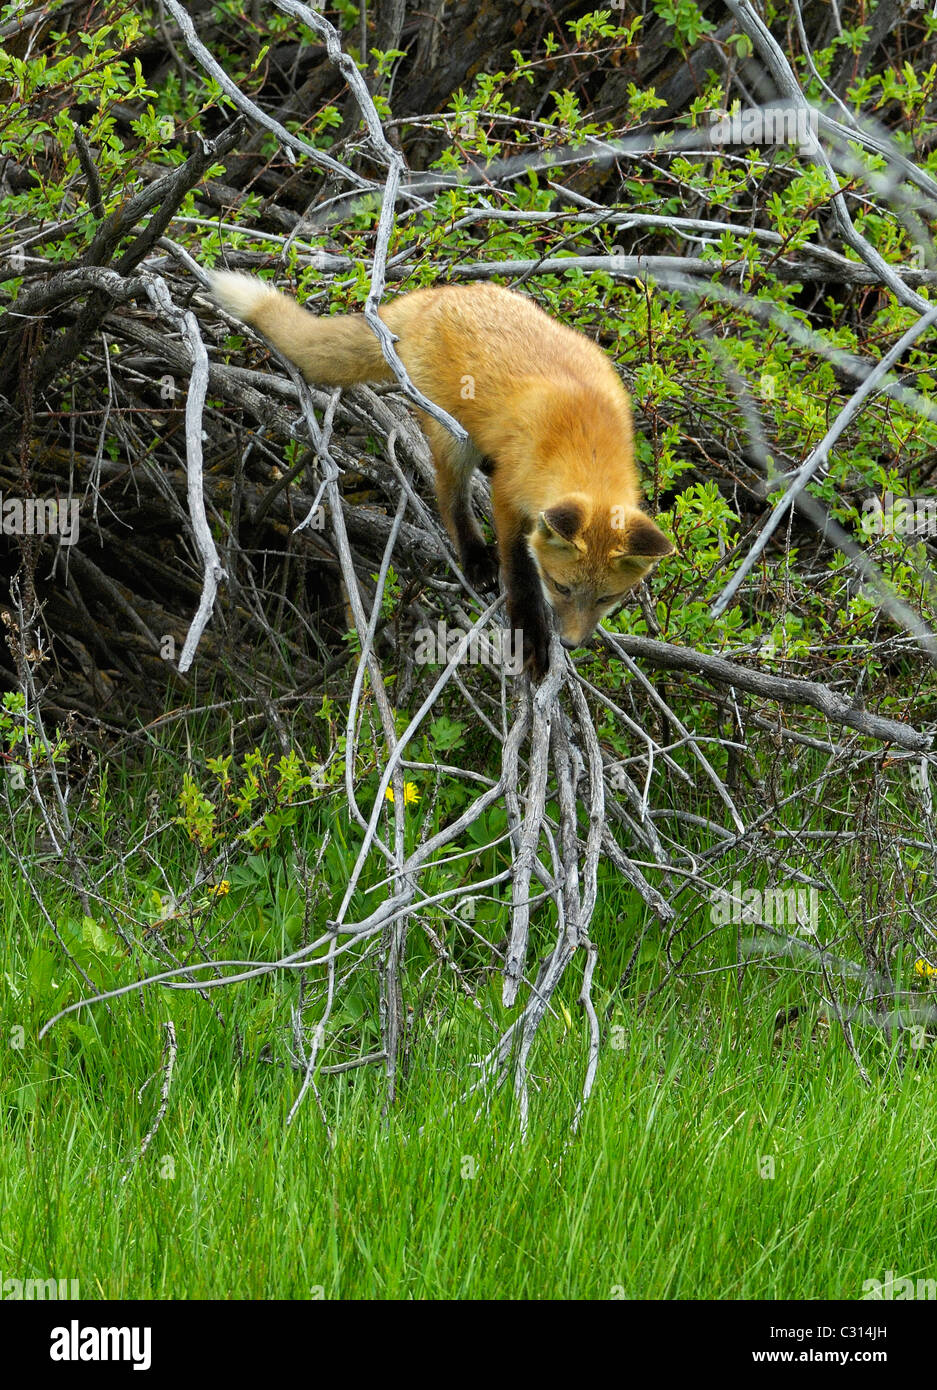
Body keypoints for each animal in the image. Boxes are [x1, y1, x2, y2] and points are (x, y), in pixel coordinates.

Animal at [207, 272, 672, 678]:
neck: (584, 441)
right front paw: (530, 637)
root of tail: (437, 295)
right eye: (561, 588)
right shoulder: (510, 495)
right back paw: (475, 557)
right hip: (452, 437)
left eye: (608, 598)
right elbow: (520, 572)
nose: (573, 643)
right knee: (449, 500)